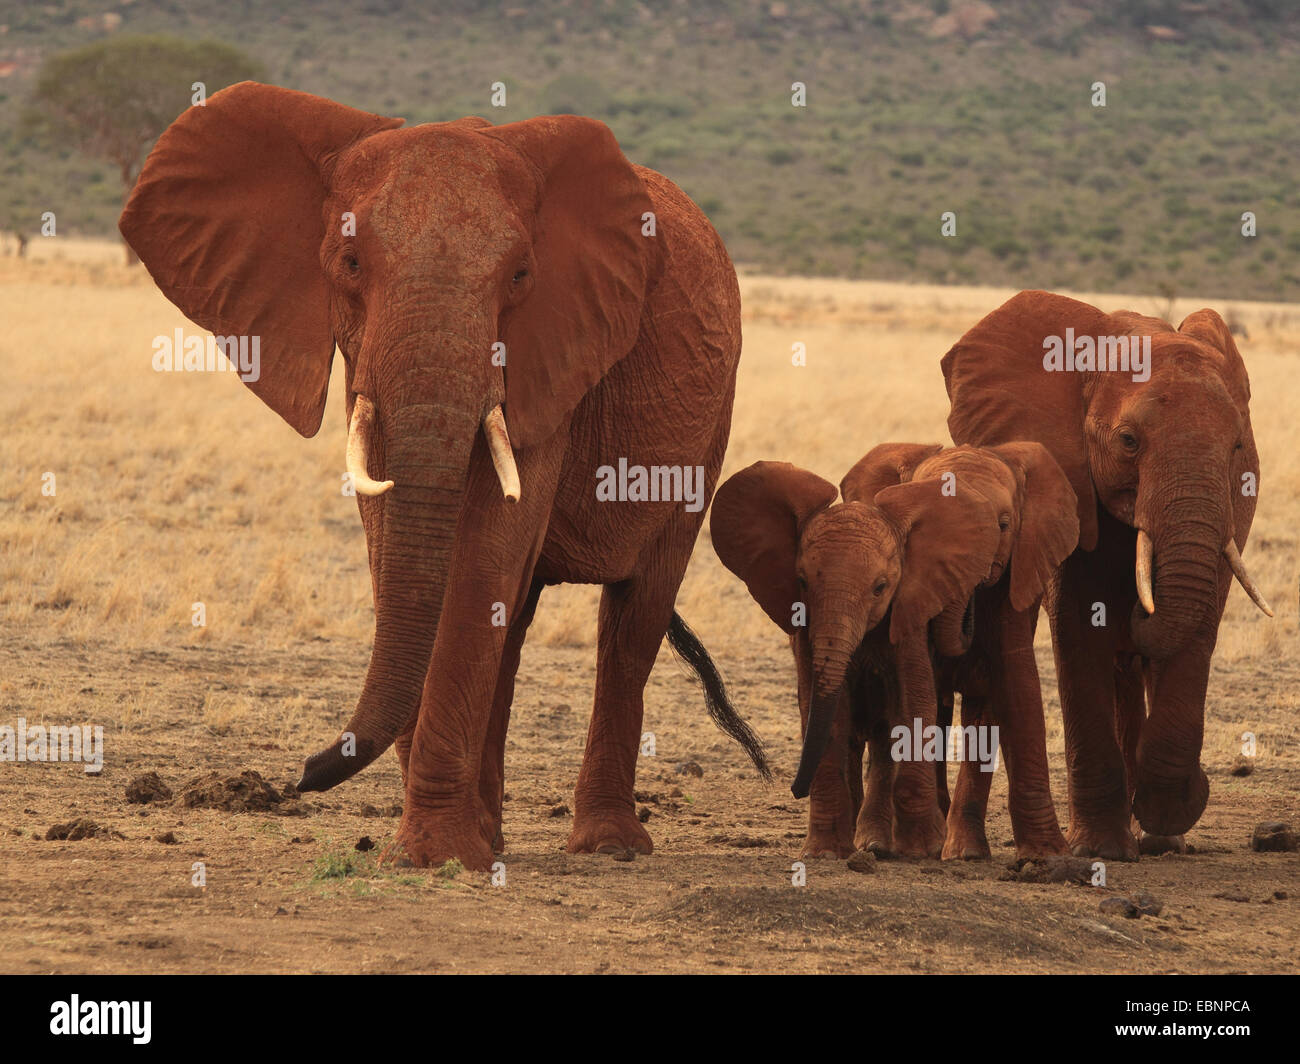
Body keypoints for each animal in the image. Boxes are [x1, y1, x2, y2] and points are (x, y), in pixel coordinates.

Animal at [119, 82, 770, 870]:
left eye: (520, 276)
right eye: (349, 263)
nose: (301, 774)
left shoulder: (552, 358)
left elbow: (485, 555)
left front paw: (434, 855)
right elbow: (400, 540)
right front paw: (445, 850)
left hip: (712, 427)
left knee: (634, 615)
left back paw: (609, 845)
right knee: (517, 622)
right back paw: (494, 835)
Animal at [709, 454, 1013, 858]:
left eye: (880, 587)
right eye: (802, 581)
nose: (792, 789)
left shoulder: (909, 613)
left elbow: (915, 699)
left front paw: (922, 851)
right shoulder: (803, 627)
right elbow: (821, 707)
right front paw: (823, 853)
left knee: (887, 729)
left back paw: (878, 844)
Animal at [840, 441, 1079, 859]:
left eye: (1003, 524)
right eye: (913, 531)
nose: (968, 613)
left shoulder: (1020, 570)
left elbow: (1014, 679)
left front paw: (1048, 855)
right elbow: (916, 673)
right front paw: (921, 846)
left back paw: (959, 849)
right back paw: (881, 845)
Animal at [942, 291, 1271, 859]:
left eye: (1236, 448)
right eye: (1128, 441)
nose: (1204, 782)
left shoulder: (1233, 506)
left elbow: (1198, 627)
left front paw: (1165, 812)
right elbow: (1079, 626)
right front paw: (1100, 850)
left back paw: (1159, 840)